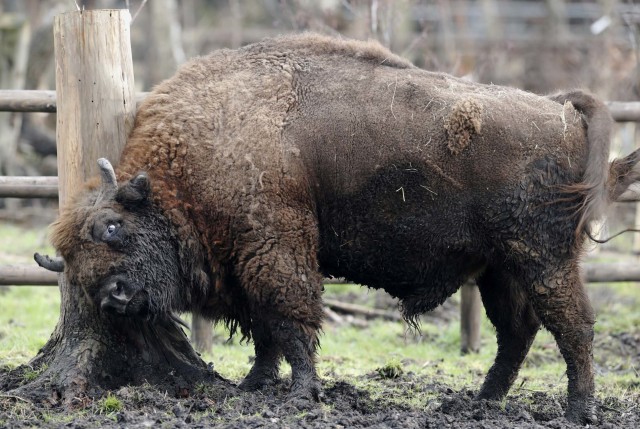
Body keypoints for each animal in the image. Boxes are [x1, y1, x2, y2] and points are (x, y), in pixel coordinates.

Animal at [37, 34, 640, 424]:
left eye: (113, 227)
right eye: (72, 257)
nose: (112, 296)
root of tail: (563, 112)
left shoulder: (276, 248)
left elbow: (290, 319)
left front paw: (298, 396)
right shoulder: (249, 262)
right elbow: (263, 330)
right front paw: (254, 386)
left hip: (542, 258)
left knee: (573, 326)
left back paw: (578, 410)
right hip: (499, 267)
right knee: (517, 331)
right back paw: (480, 403)